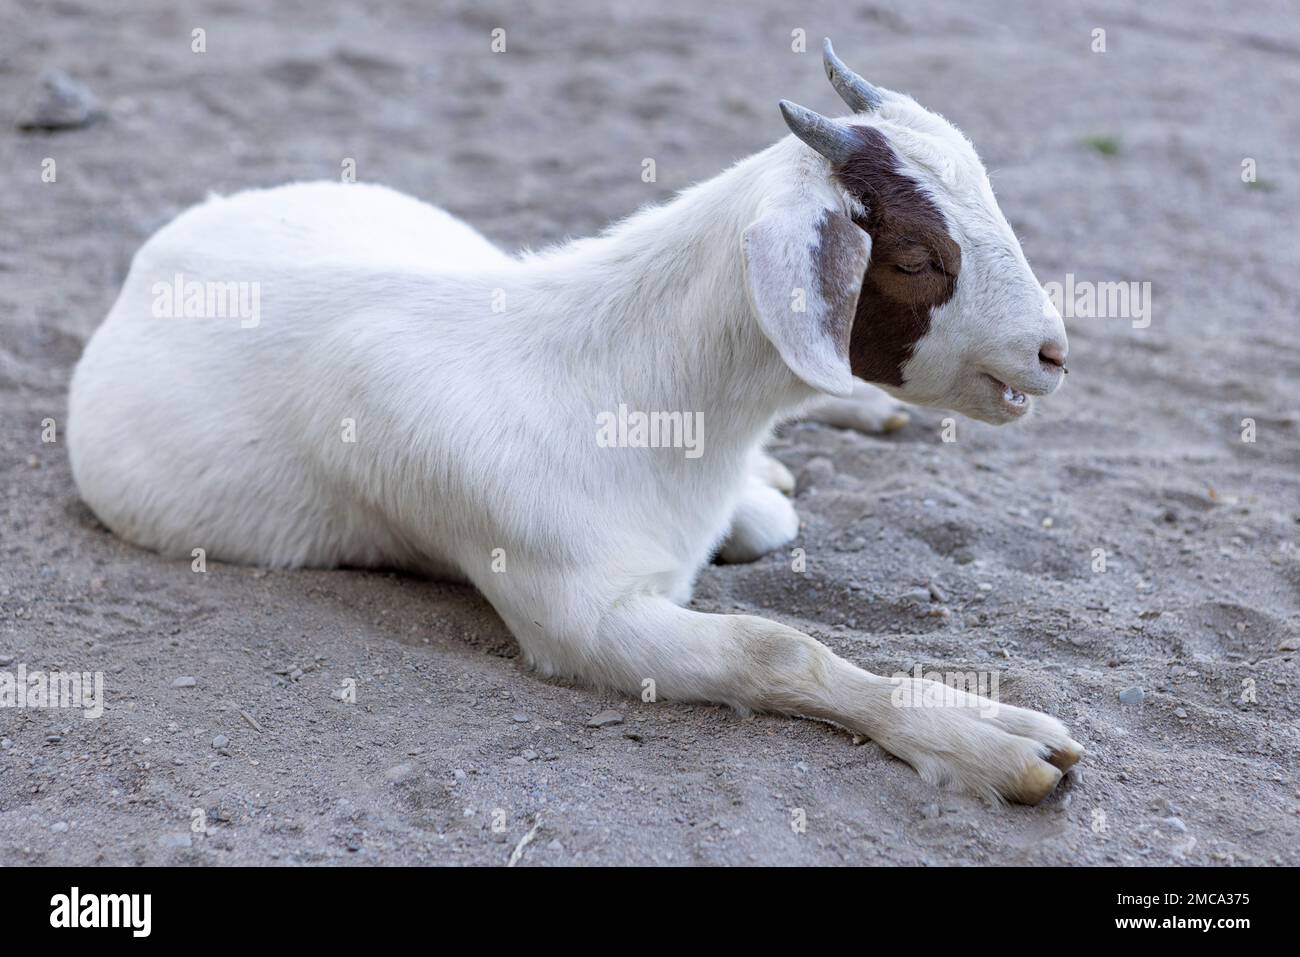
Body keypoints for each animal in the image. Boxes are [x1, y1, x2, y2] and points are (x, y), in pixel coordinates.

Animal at [68, 41, 1080, 803]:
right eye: (914, 255)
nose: (1051, 351)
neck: (621, 389)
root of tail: (176, 237)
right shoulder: (582, 621)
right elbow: (776, 646)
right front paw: (992, 742)